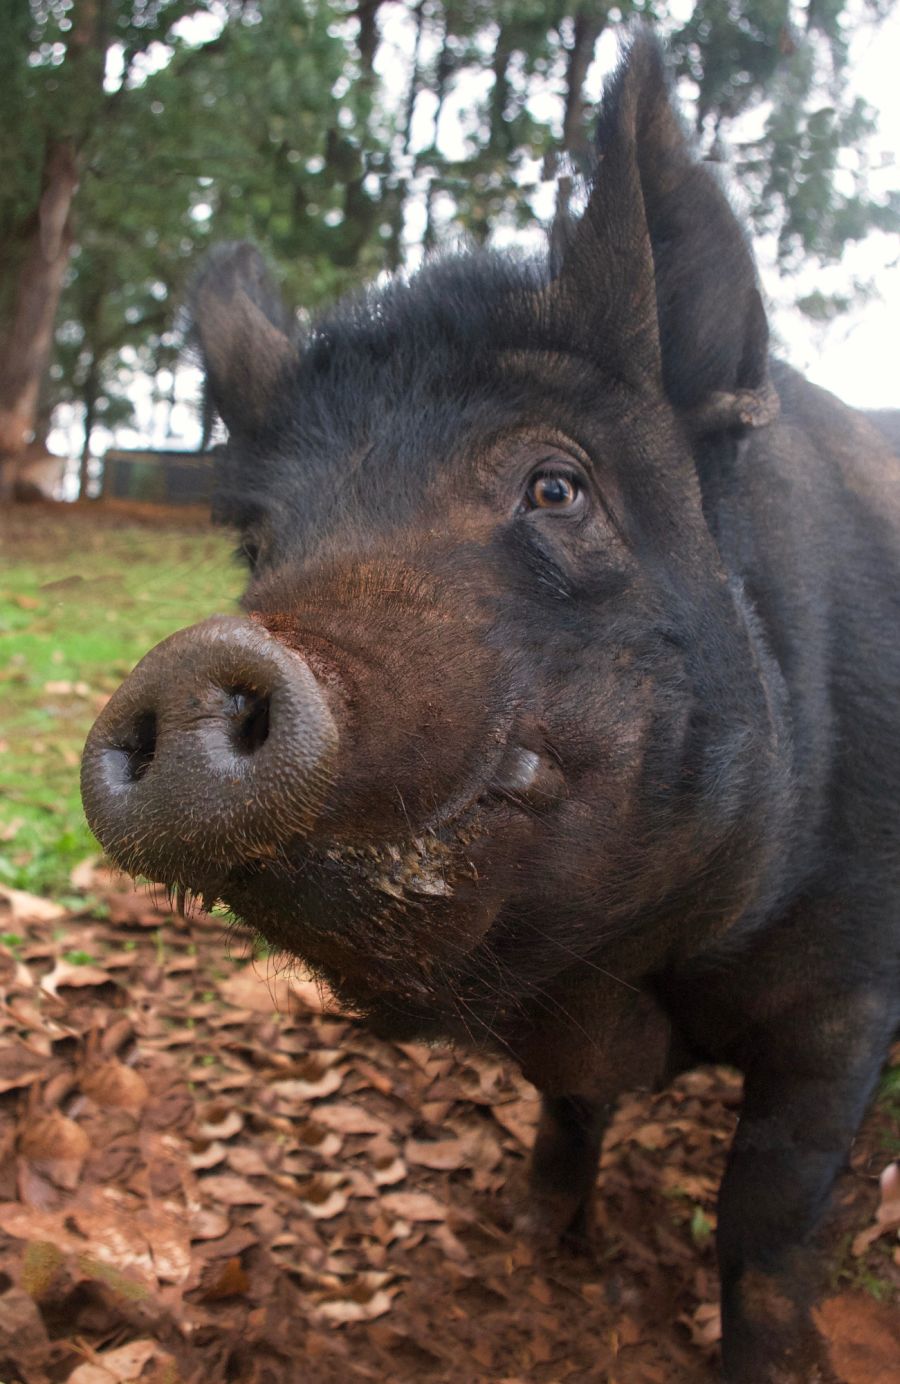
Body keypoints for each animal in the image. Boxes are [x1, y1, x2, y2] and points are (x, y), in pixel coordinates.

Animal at [81, 34, 900, 1383]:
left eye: (557, 485)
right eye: (258, 546)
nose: (194, 657)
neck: (626, 982)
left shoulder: (847, 996)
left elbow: (768, 1221)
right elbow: (566, 1111)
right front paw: (529, 1240)